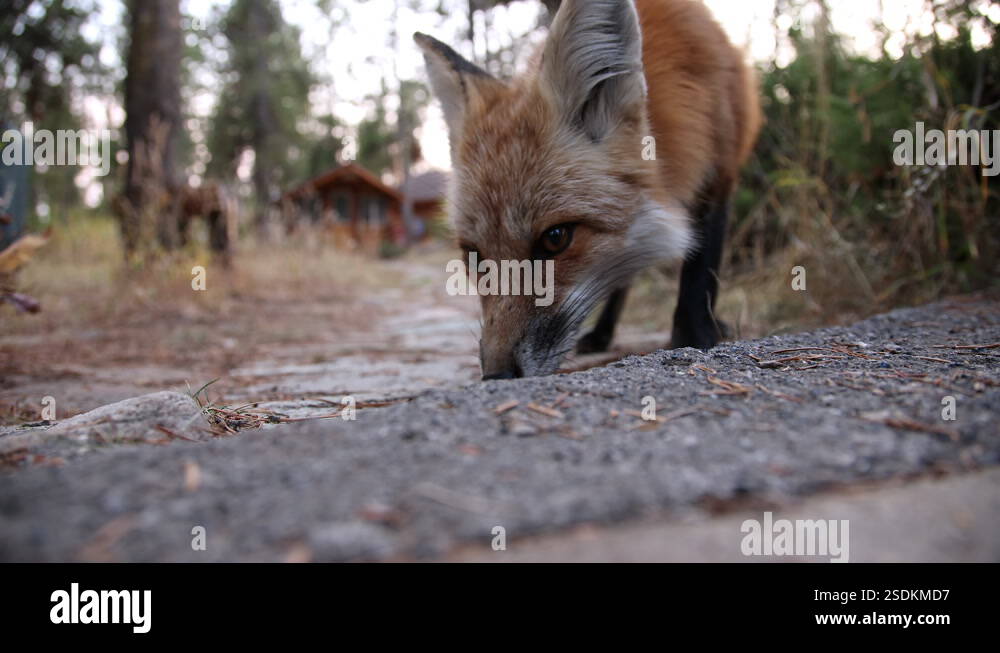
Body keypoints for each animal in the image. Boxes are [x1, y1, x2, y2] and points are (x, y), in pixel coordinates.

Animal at [415, 0, 760, 380]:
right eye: (473, 255)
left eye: (556, 238)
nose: (496, 377)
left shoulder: (719, 173)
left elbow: (701, 273)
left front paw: (694, 337)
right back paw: (602, 334)